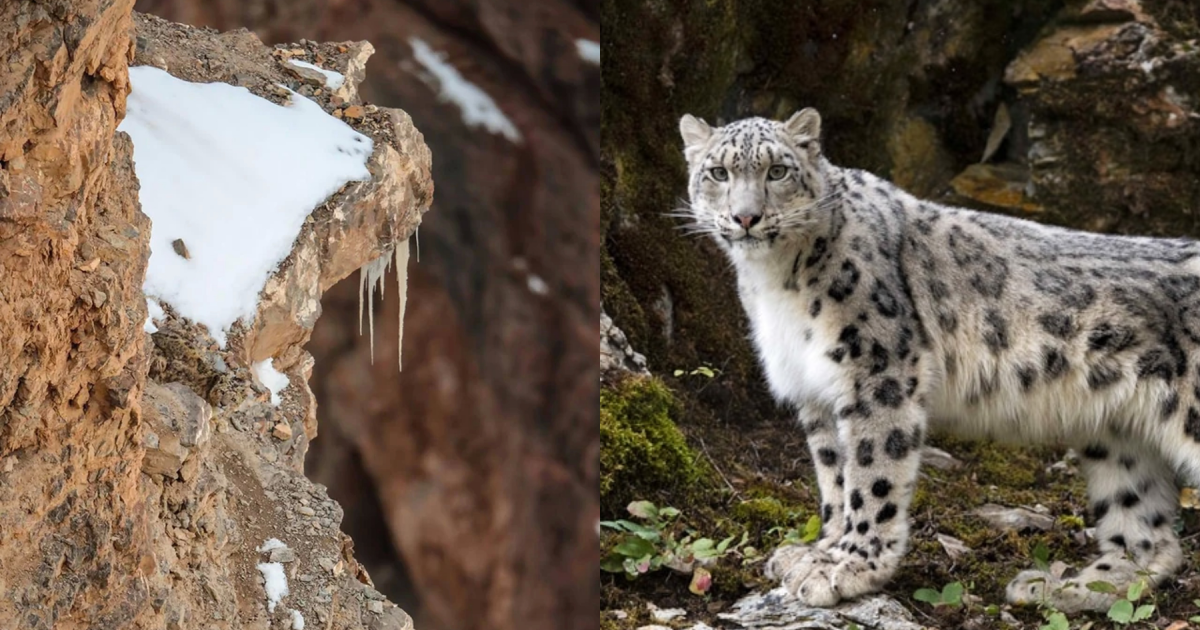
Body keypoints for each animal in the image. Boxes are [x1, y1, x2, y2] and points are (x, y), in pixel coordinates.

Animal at [677, 108, 1200, 613]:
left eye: (778, 170)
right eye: (719, 172)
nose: (746, 217)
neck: (774, 281)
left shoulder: (876, 372)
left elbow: (870, 474)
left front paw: (850, 565)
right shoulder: (816, 392)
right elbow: (834, 477)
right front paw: (820, 550)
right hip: (1118, 437)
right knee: (1146, 535)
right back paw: (1064, 586)